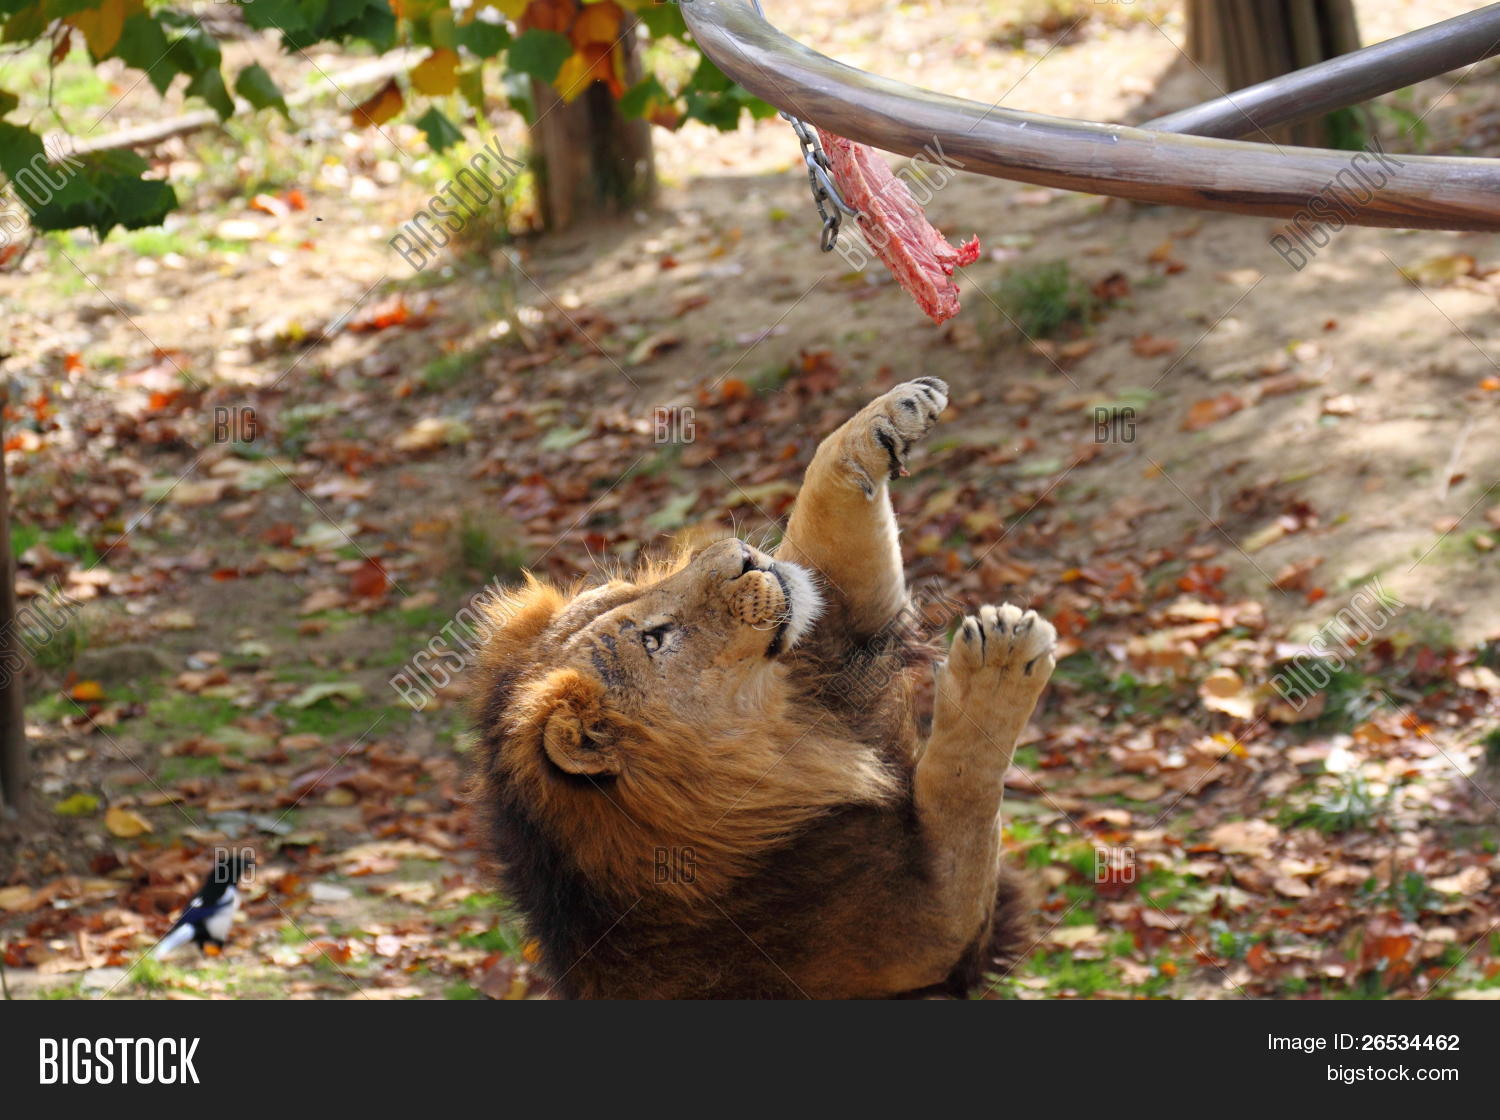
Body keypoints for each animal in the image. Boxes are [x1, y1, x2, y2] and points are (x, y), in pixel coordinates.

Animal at [470, 378, 1056, 998]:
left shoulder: (837, 644)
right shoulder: (916, 942)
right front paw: (1001, 657)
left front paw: (891, 414)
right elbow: (964, 790)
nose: (746, 556)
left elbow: (826, 503)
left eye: (631, 591)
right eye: (655, 640)